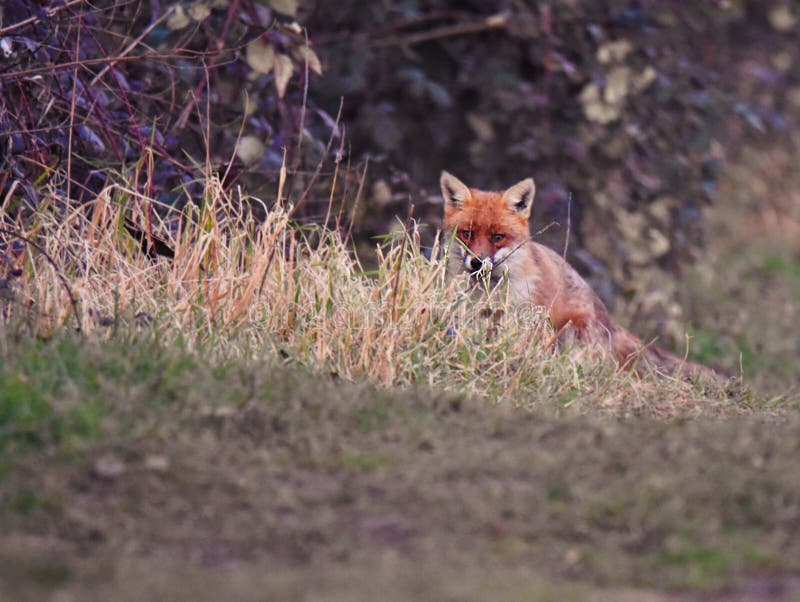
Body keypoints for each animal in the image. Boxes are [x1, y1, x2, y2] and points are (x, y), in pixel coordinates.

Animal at [440, 170, 714, 379]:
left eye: (498, 237)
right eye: (467, 234)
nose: (477, 263)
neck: (488, 291)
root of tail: (610, 323)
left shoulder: (531, 314)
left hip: (574, 329)